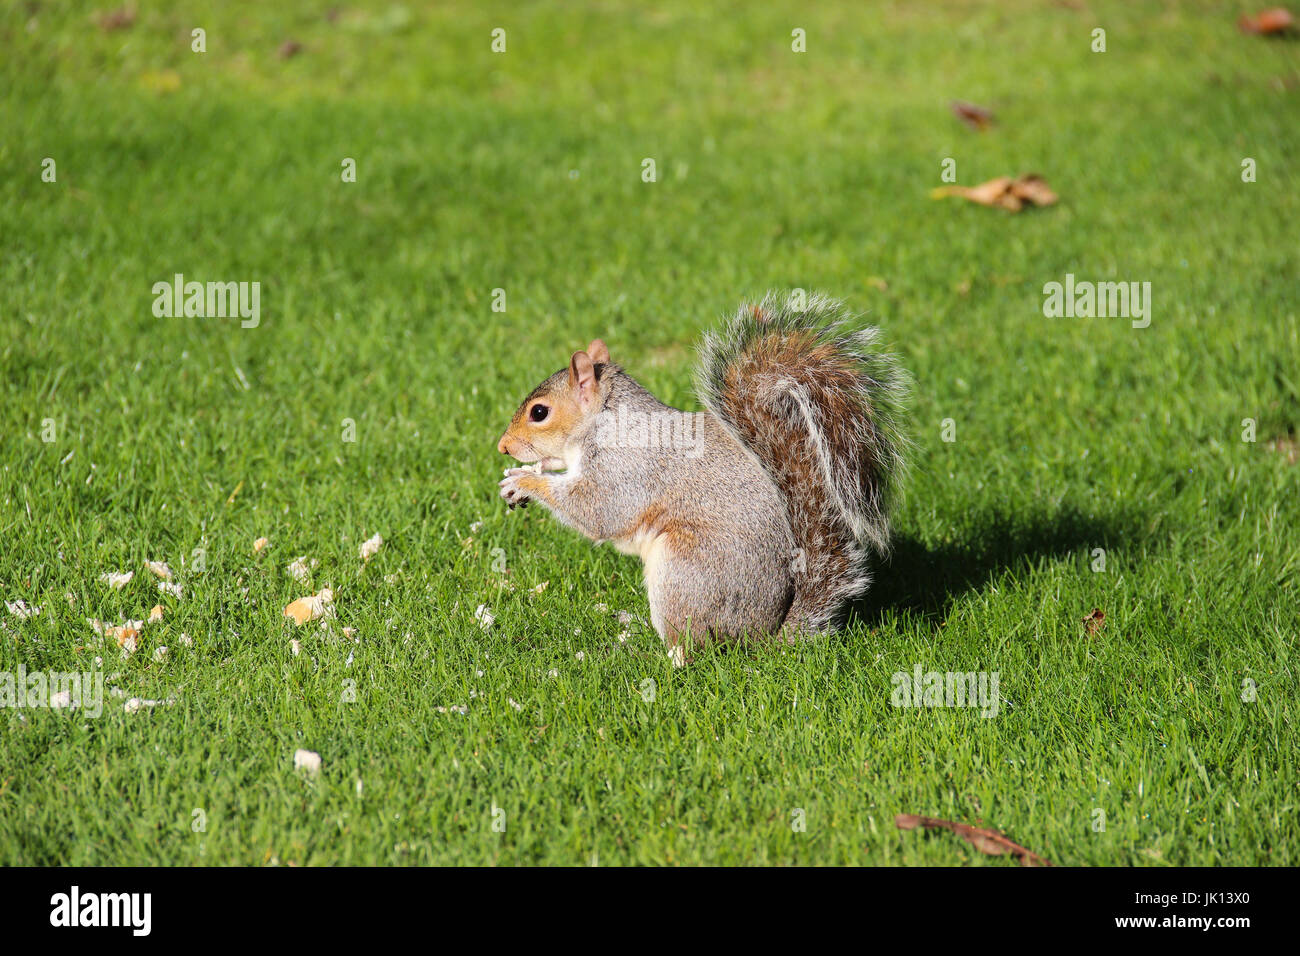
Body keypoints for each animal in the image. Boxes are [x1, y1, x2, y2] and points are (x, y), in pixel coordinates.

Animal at [496, 291, 910, 663]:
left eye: (539, 412)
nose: (502, 447)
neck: (605, 418)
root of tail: (762, 635)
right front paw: (527, 475)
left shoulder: (624, 469)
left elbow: (597, 511)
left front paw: (524, 482)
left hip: (684, 572)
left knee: (694, 643)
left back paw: (660, 657)